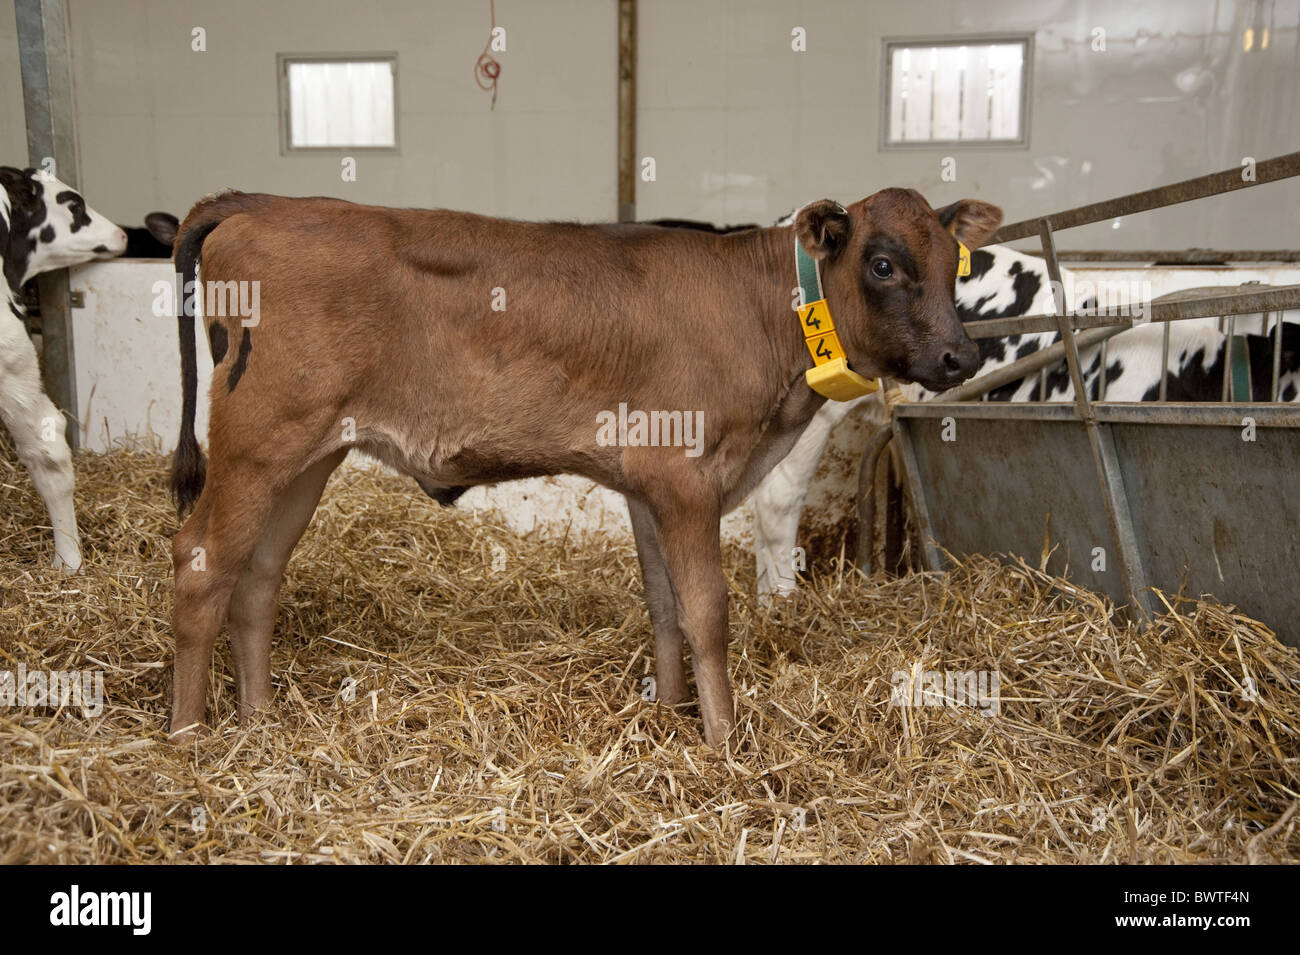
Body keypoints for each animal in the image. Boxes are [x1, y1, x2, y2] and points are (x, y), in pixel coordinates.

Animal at [166, 188, 1002, 746]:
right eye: (883, 263)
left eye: (955, 262)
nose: (961, 355)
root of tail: (260, 203)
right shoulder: (685, 476)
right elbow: (708, 610)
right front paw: (725, 741)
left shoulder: (647, 485)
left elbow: (665, 605)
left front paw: (669, 716)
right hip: (257, 441)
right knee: (201, 563)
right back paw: (189, 736)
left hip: (307, 454)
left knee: (257, 575)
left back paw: (257, 721)